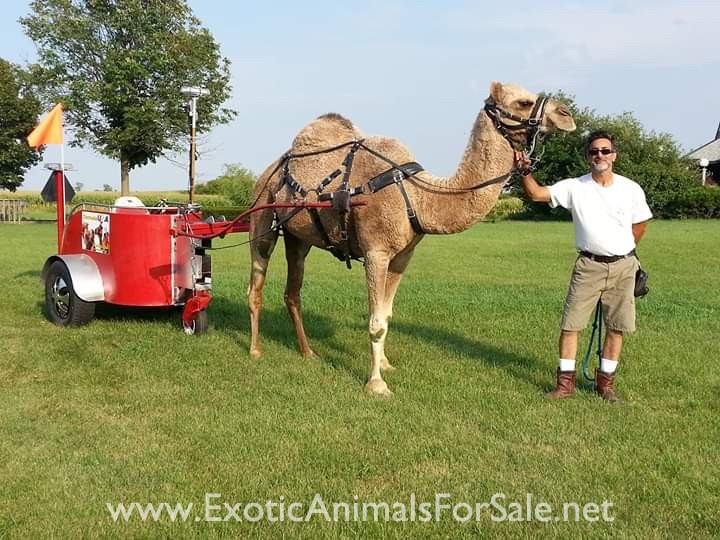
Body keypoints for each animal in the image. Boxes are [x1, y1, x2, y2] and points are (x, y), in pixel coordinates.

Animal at [247, 82, 576, 396]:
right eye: (522, 102)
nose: (567, 114)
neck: (419, 195)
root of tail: (267, 171)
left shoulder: (402, 256)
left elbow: (387, 314)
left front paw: (385, 365)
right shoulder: (375, 251)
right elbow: (375, 322)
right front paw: (377, 384)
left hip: (297, 237)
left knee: (293, 291)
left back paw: (307, 352)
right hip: (261, 216)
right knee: (257, 282)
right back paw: (255, 350)